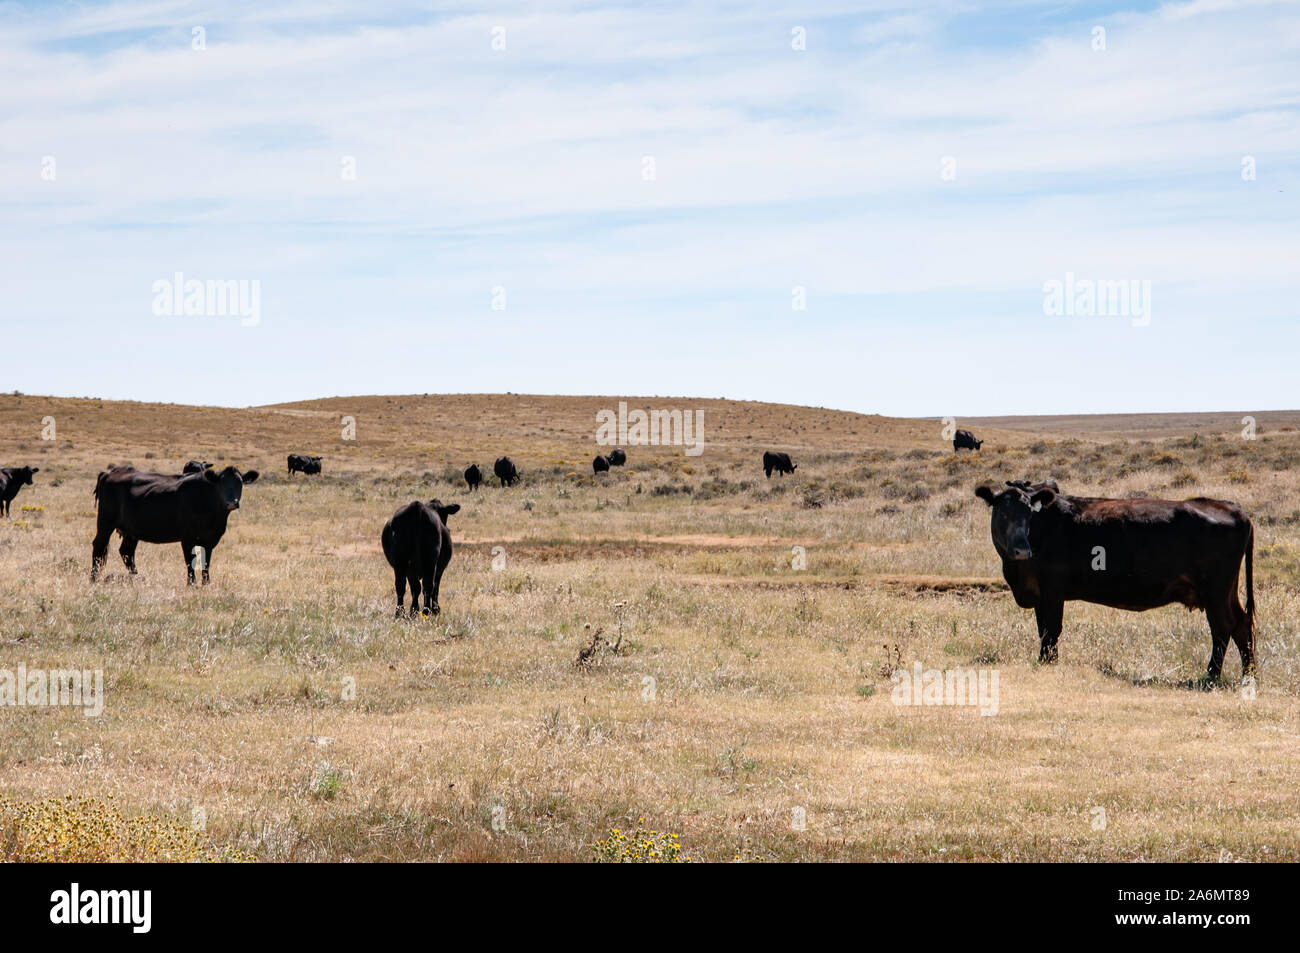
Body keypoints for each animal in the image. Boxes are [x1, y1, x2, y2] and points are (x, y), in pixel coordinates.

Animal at [91, 465, 260, 585]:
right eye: (222, 483)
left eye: (240, 483)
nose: (232, 502)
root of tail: (110, 473)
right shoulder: (187, 538)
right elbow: (190, 562)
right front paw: (191, 584)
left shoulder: (210, 539)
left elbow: (206, 562)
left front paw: (206, 583)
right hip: (105, 522)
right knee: (99, 545)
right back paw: (94, 578)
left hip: (132, 531)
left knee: (126, 551)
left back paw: (137, 576)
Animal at [975, 480, 1255, 682]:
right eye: (1002, 513)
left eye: (1028, 515)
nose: (1022, 549)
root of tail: (1234, 509)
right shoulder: (1040, 595)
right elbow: (1042, 630)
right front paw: (1046, 660)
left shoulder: (1053, 591)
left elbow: (1051, 630)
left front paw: (1048, 663)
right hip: (1226, 592)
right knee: (1242, 624)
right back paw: (1248, 673)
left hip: (1215, 592)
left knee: (1222, 627)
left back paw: (1211, 675)